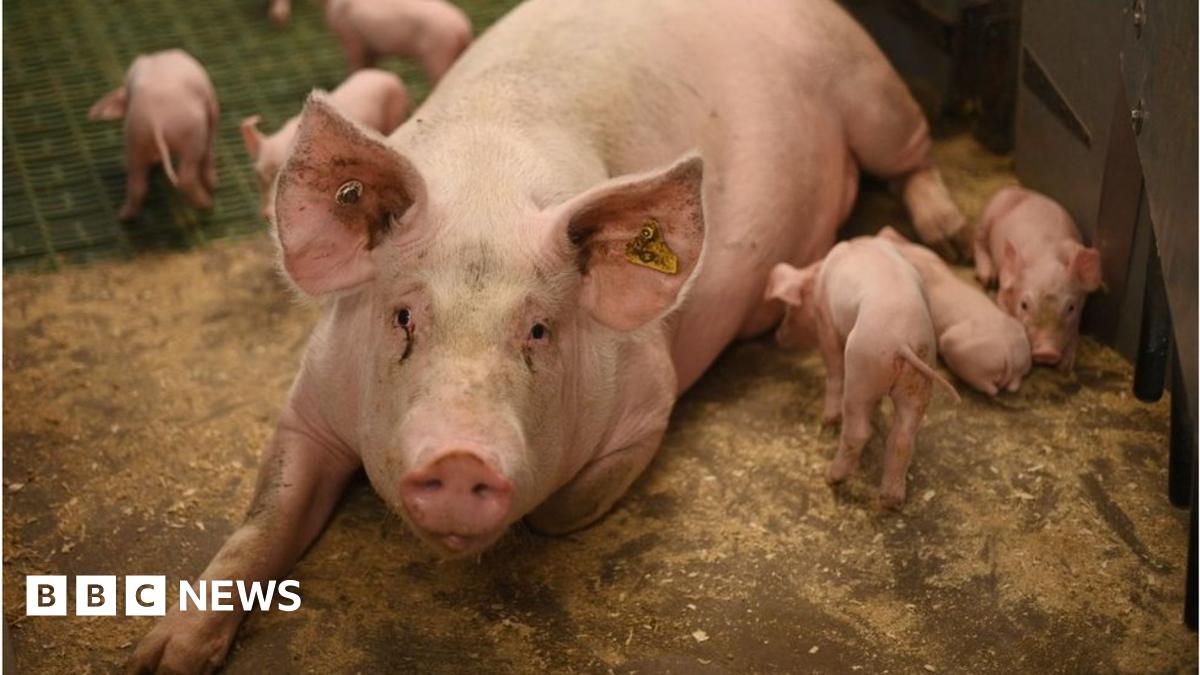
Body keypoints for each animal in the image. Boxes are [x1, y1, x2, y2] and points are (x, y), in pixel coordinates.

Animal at [88, 49, 219, 222]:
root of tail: (155, 117)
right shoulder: (211, 105)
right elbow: (211, 141)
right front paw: (213, 183)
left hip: (134, 137)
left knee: (137, 184)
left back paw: (124, 216)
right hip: (193, 134)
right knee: (186, 175)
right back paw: (207, 203)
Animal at [765, 238, 959, 508]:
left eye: (790, 310)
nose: (778, 336)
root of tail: (902, 342)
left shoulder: (825, 319)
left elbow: (833, 366)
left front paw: (827, 420)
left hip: (862, 366)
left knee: (858, 431)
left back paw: (831, 477)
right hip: (920, 375)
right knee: (903, 437)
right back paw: (890, 499)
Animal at [973, 186, 1102, 370]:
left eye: (1071, 308)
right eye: (1024, 305)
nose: (1047, 352)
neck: (1045, 257)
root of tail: (1025, 190)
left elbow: (1075, 330)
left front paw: (1065, 367)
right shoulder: (1005, 288)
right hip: (989, 213)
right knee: (978, 239)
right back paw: (987, 278)